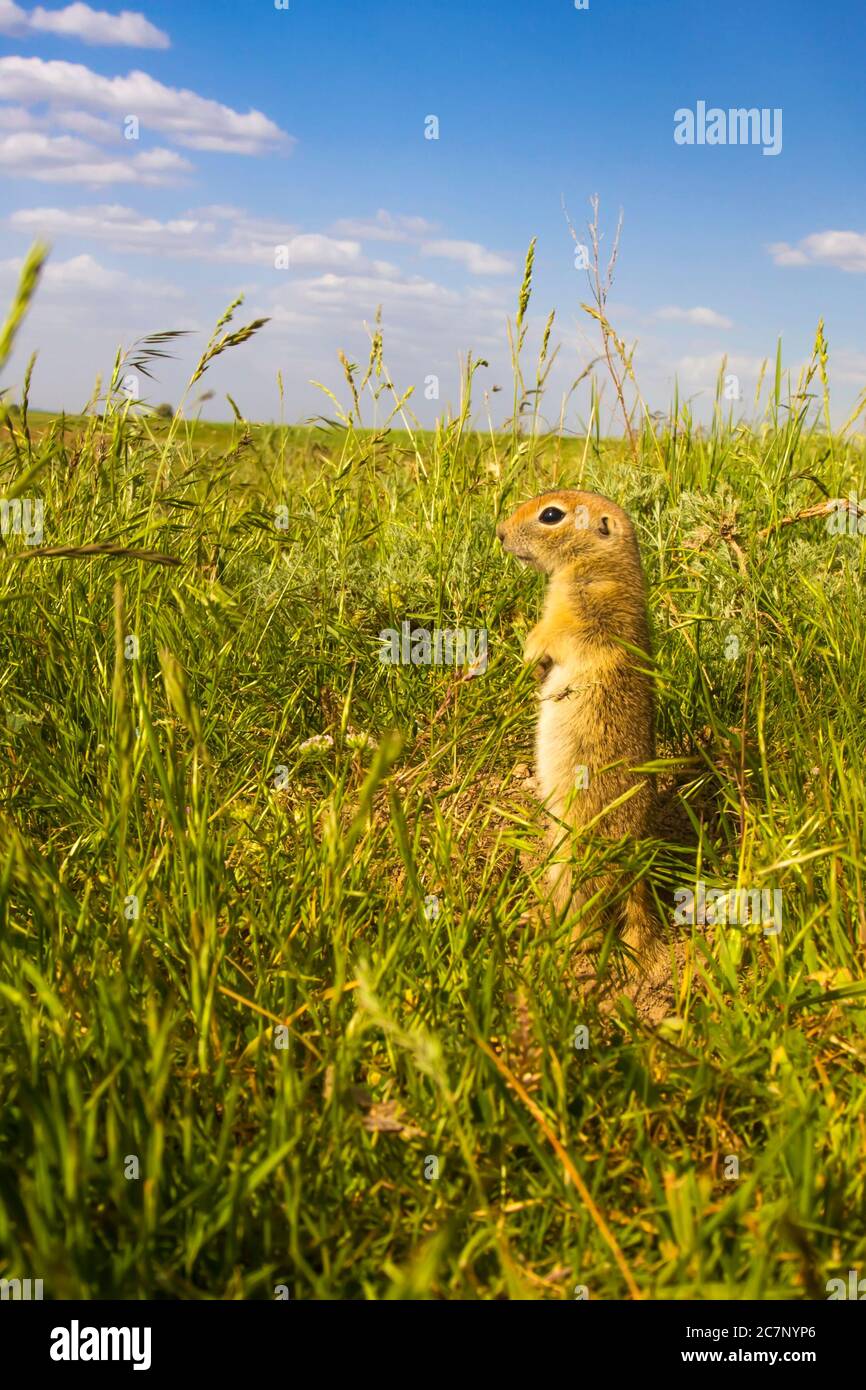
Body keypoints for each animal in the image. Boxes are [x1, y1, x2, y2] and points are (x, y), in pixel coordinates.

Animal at [497, 488, 663, 968]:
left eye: (551, 515)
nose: (499, 532)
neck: (596, 564)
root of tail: (633, 874)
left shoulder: (588, 613)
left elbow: (555, 635)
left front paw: (529, 654)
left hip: (573, 865)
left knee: (589, 922)